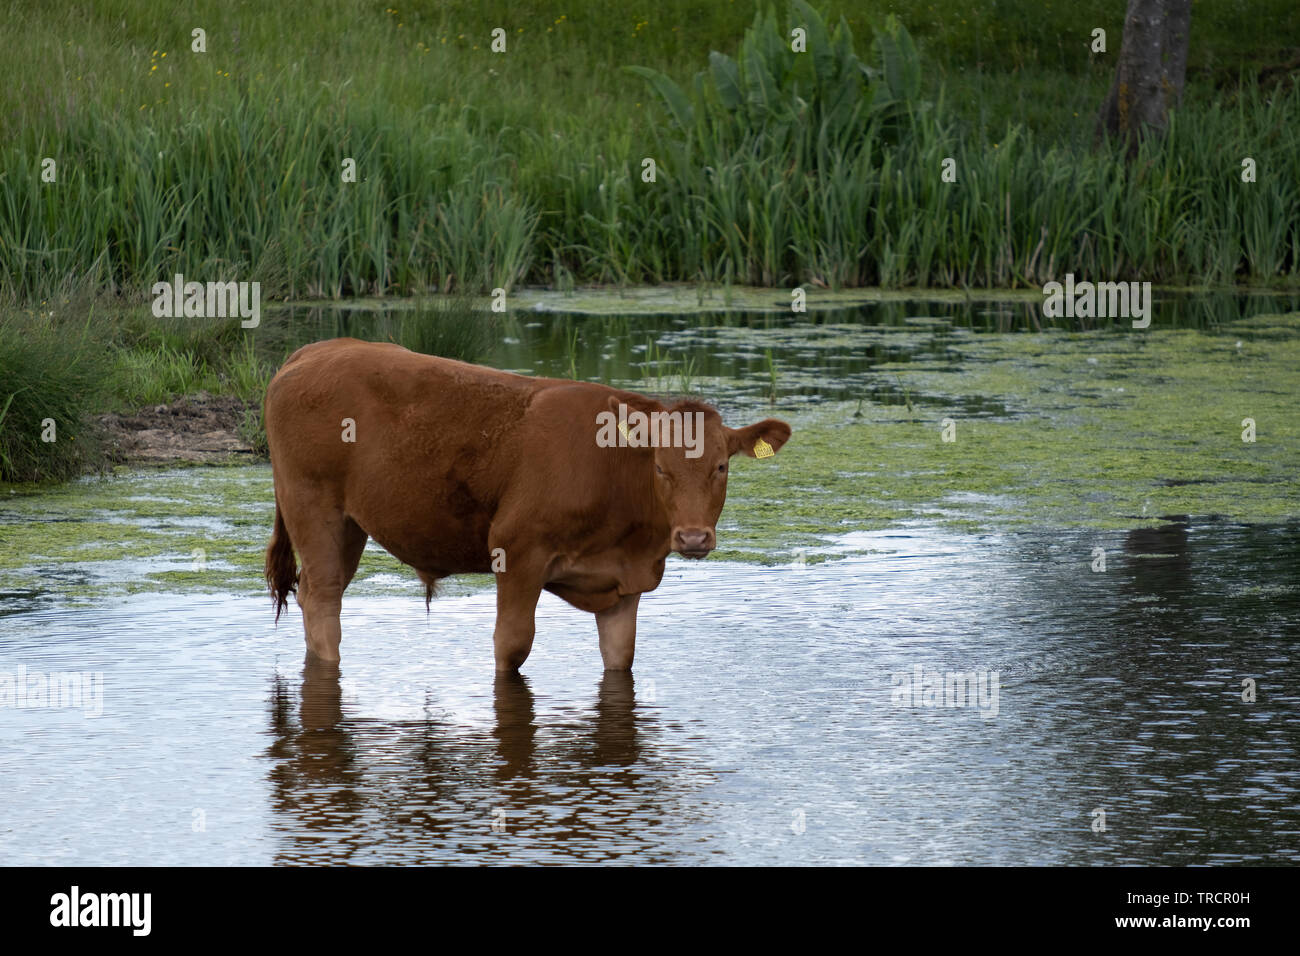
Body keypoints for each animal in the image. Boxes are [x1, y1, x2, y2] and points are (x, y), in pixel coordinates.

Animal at [261, 335, 790, 671]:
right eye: (661, 468)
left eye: (721, 467)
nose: (694, 537)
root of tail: (315, 350)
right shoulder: (516, 551)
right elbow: (511, 647)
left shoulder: (623, 586)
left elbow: (621, 659)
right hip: (313, 507)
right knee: (322, 599)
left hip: (350, 525)